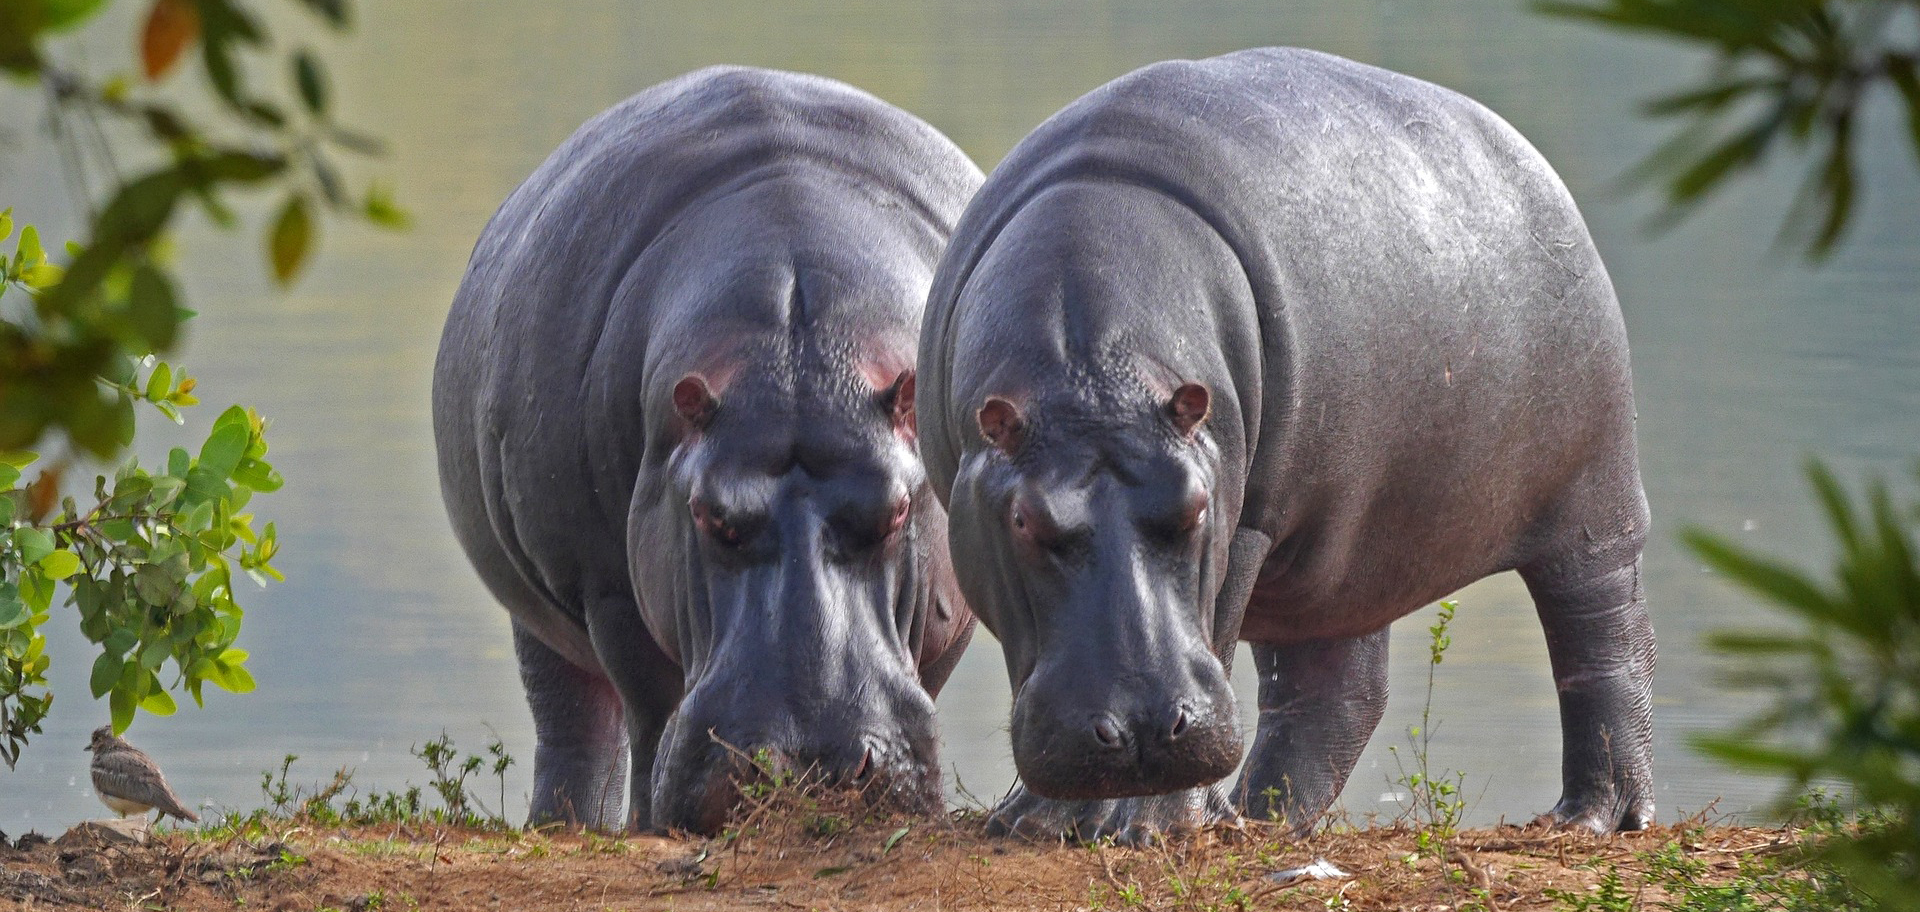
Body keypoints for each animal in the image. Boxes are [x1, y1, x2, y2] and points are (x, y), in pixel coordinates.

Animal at [434, 67, 980, 833]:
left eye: (900, 509)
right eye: (707, 513)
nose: (807, 765)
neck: (799, 357)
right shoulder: (608, 590)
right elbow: (651, 703)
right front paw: (649, 822)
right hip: (542, 613)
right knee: (576, 725)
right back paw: (568, 825)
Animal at [917, 47, 1655, 842]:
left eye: (1196, 506)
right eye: (1023, 520)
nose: (1144, 731)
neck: (1093, 374)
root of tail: (1527, 159)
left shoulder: (1245, 522)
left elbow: (1213, 628)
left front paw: (1149, 826)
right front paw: (1032, 821)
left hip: (1592, 503)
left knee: (1605, 642)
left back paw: (1594, 818)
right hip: (1339, 547)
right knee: (1335, 688)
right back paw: (1261, 820)